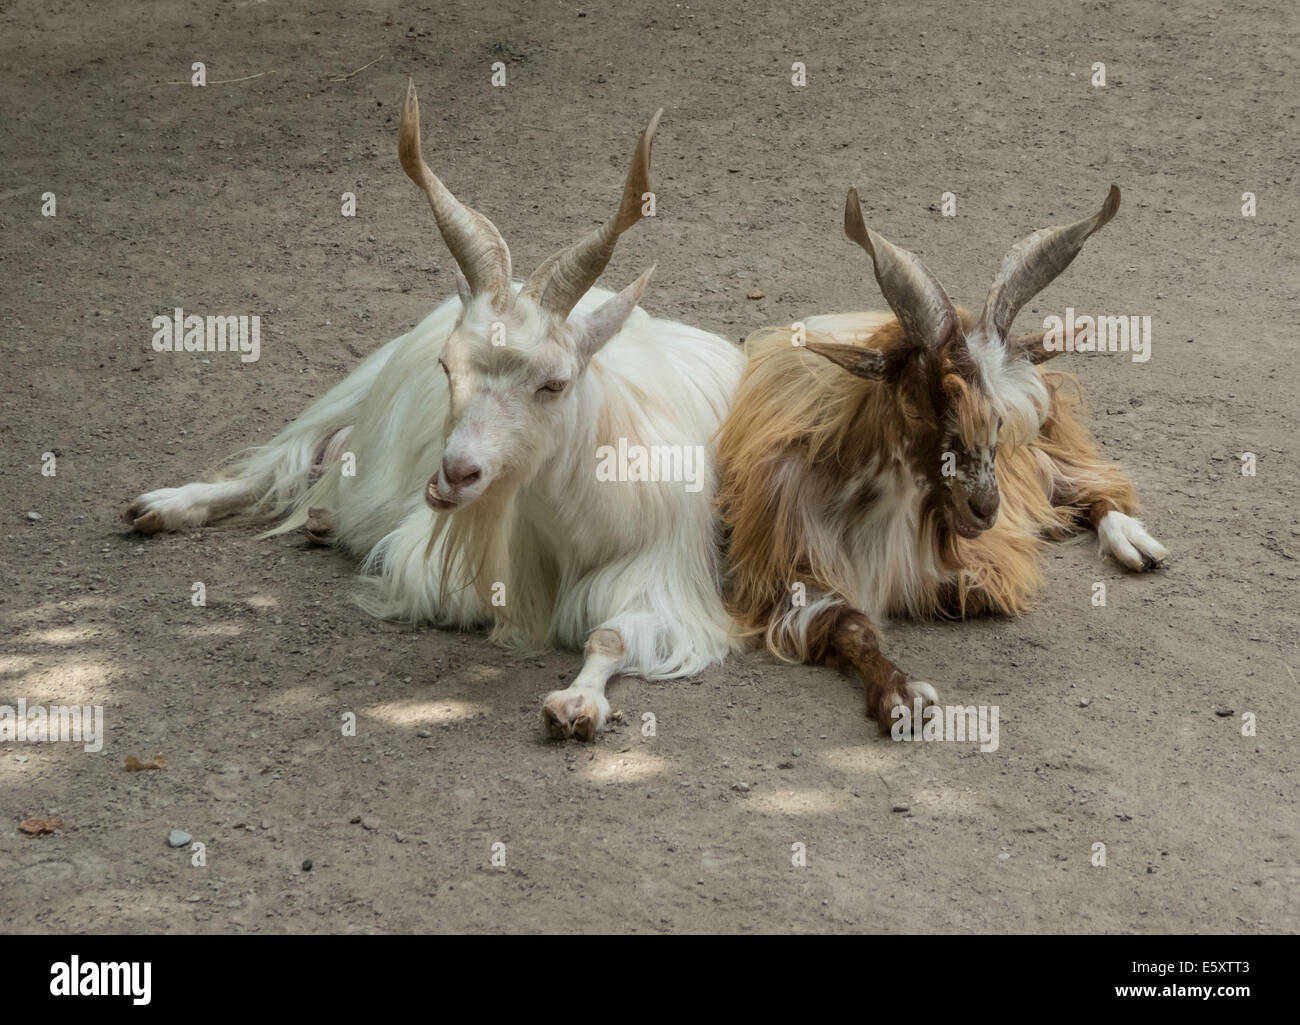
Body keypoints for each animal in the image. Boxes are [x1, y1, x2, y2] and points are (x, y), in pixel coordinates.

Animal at [125, 81, 745, 740]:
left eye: (554, 383)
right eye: (447, 367)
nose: (455, 475)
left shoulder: (665, 583)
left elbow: (610, 637)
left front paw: (575, 705)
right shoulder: (432, 561)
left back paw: (314, 519)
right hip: (362, 397)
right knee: (286, 462)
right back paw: (165, 506)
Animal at [716, 185, 1168, 731]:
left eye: (998, 419)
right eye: (913, 405)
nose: (985, 509)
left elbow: (972, 589)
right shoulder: (787, 575)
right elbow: (849, 626)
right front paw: (903, 696)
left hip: (1044, 455)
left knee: (1093, 487)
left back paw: (1132, 541)